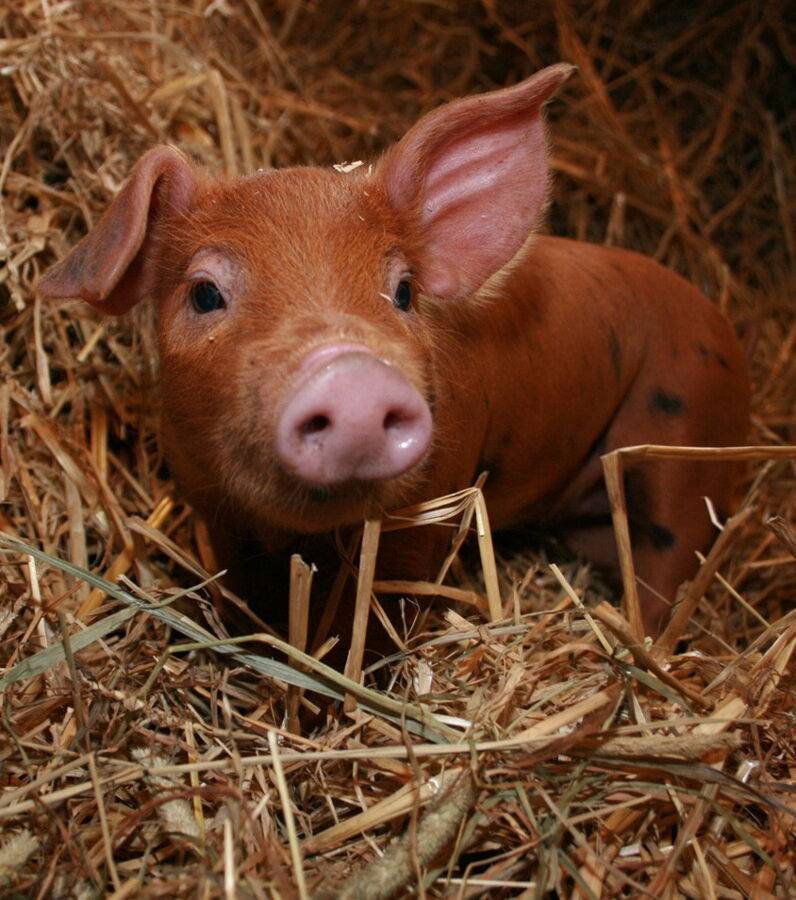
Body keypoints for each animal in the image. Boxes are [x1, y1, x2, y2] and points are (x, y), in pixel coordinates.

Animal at [38, 63, 749, 638]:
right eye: (205, 293)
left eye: (403, 290)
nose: (351, 376)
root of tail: (721, 323)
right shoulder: (208, 503)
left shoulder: (433, 505)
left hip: (689, 446)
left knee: (666, 568)